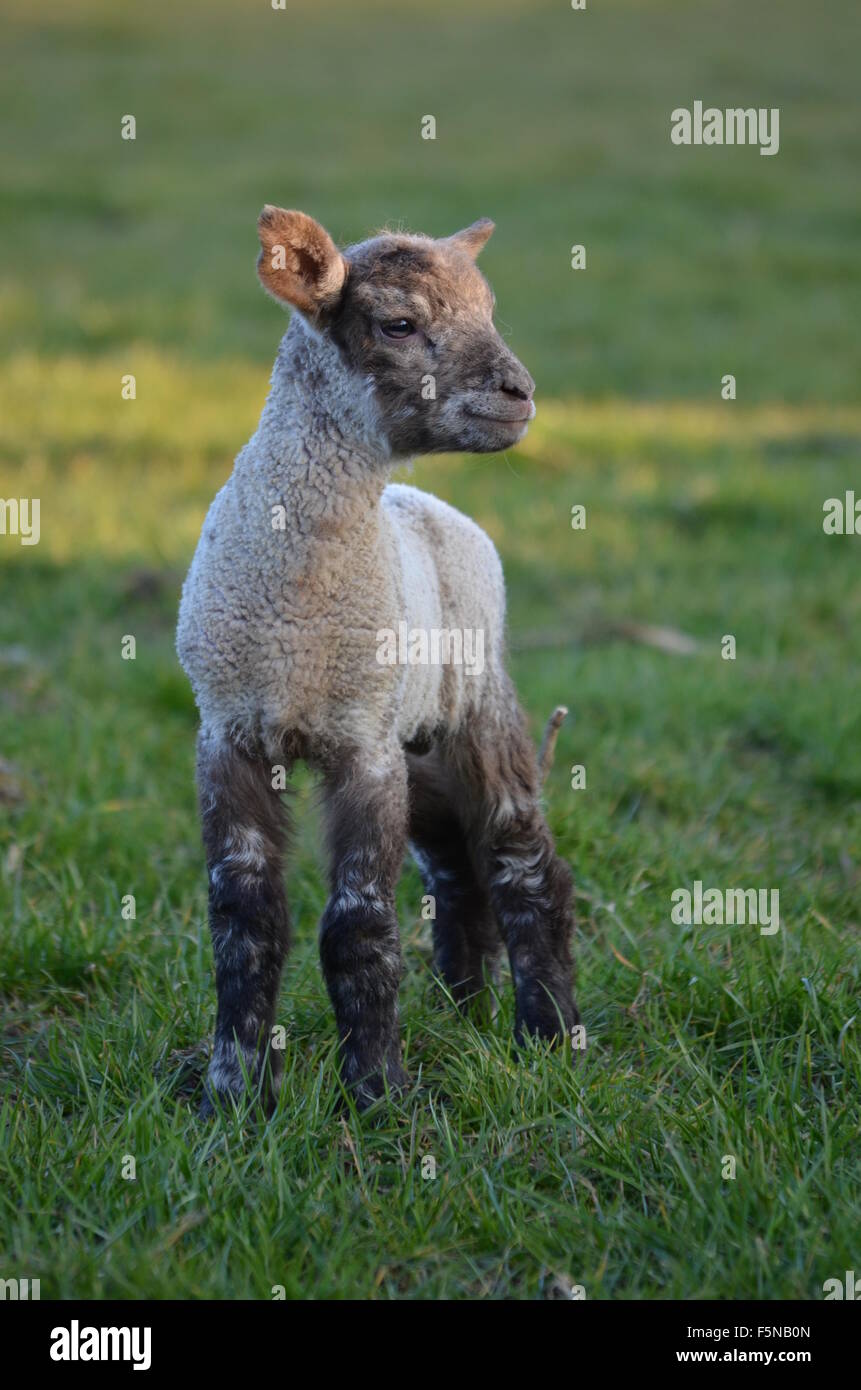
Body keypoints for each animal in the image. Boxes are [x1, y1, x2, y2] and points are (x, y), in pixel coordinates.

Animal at [176, 206, 579, 1112]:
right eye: (398, 323)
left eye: (488, 310)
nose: (520, 394)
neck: (295, 613)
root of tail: (424, 501)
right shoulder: (228, 733)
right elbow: (242, 920)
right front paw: (233, 1092)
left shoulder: (360, 743)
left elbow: (358, 924)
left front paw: (377, 1091)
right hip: (415, 744)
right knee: (456, 874)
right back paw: (465, 1009)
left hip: (477, 705)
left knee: (521, 860)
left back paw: (549, 1034)